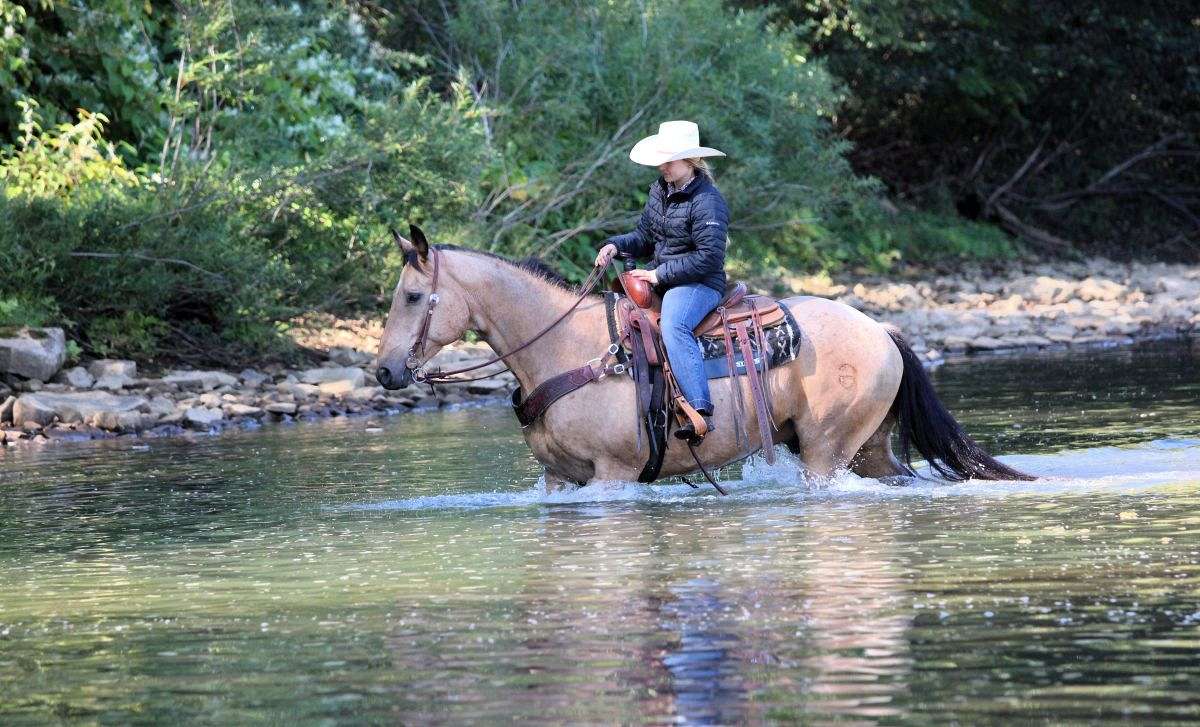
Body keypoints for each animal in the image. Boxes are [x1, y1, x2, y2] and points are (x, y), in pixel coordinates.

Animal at [375, 225, 1033, 490]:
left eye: (413, 297)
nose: (384, 371)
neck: (567, 349)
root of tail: (882, 330)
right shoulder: (561, 479)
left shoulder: (612, 476)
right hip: (870, 447)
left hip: (827, 451)